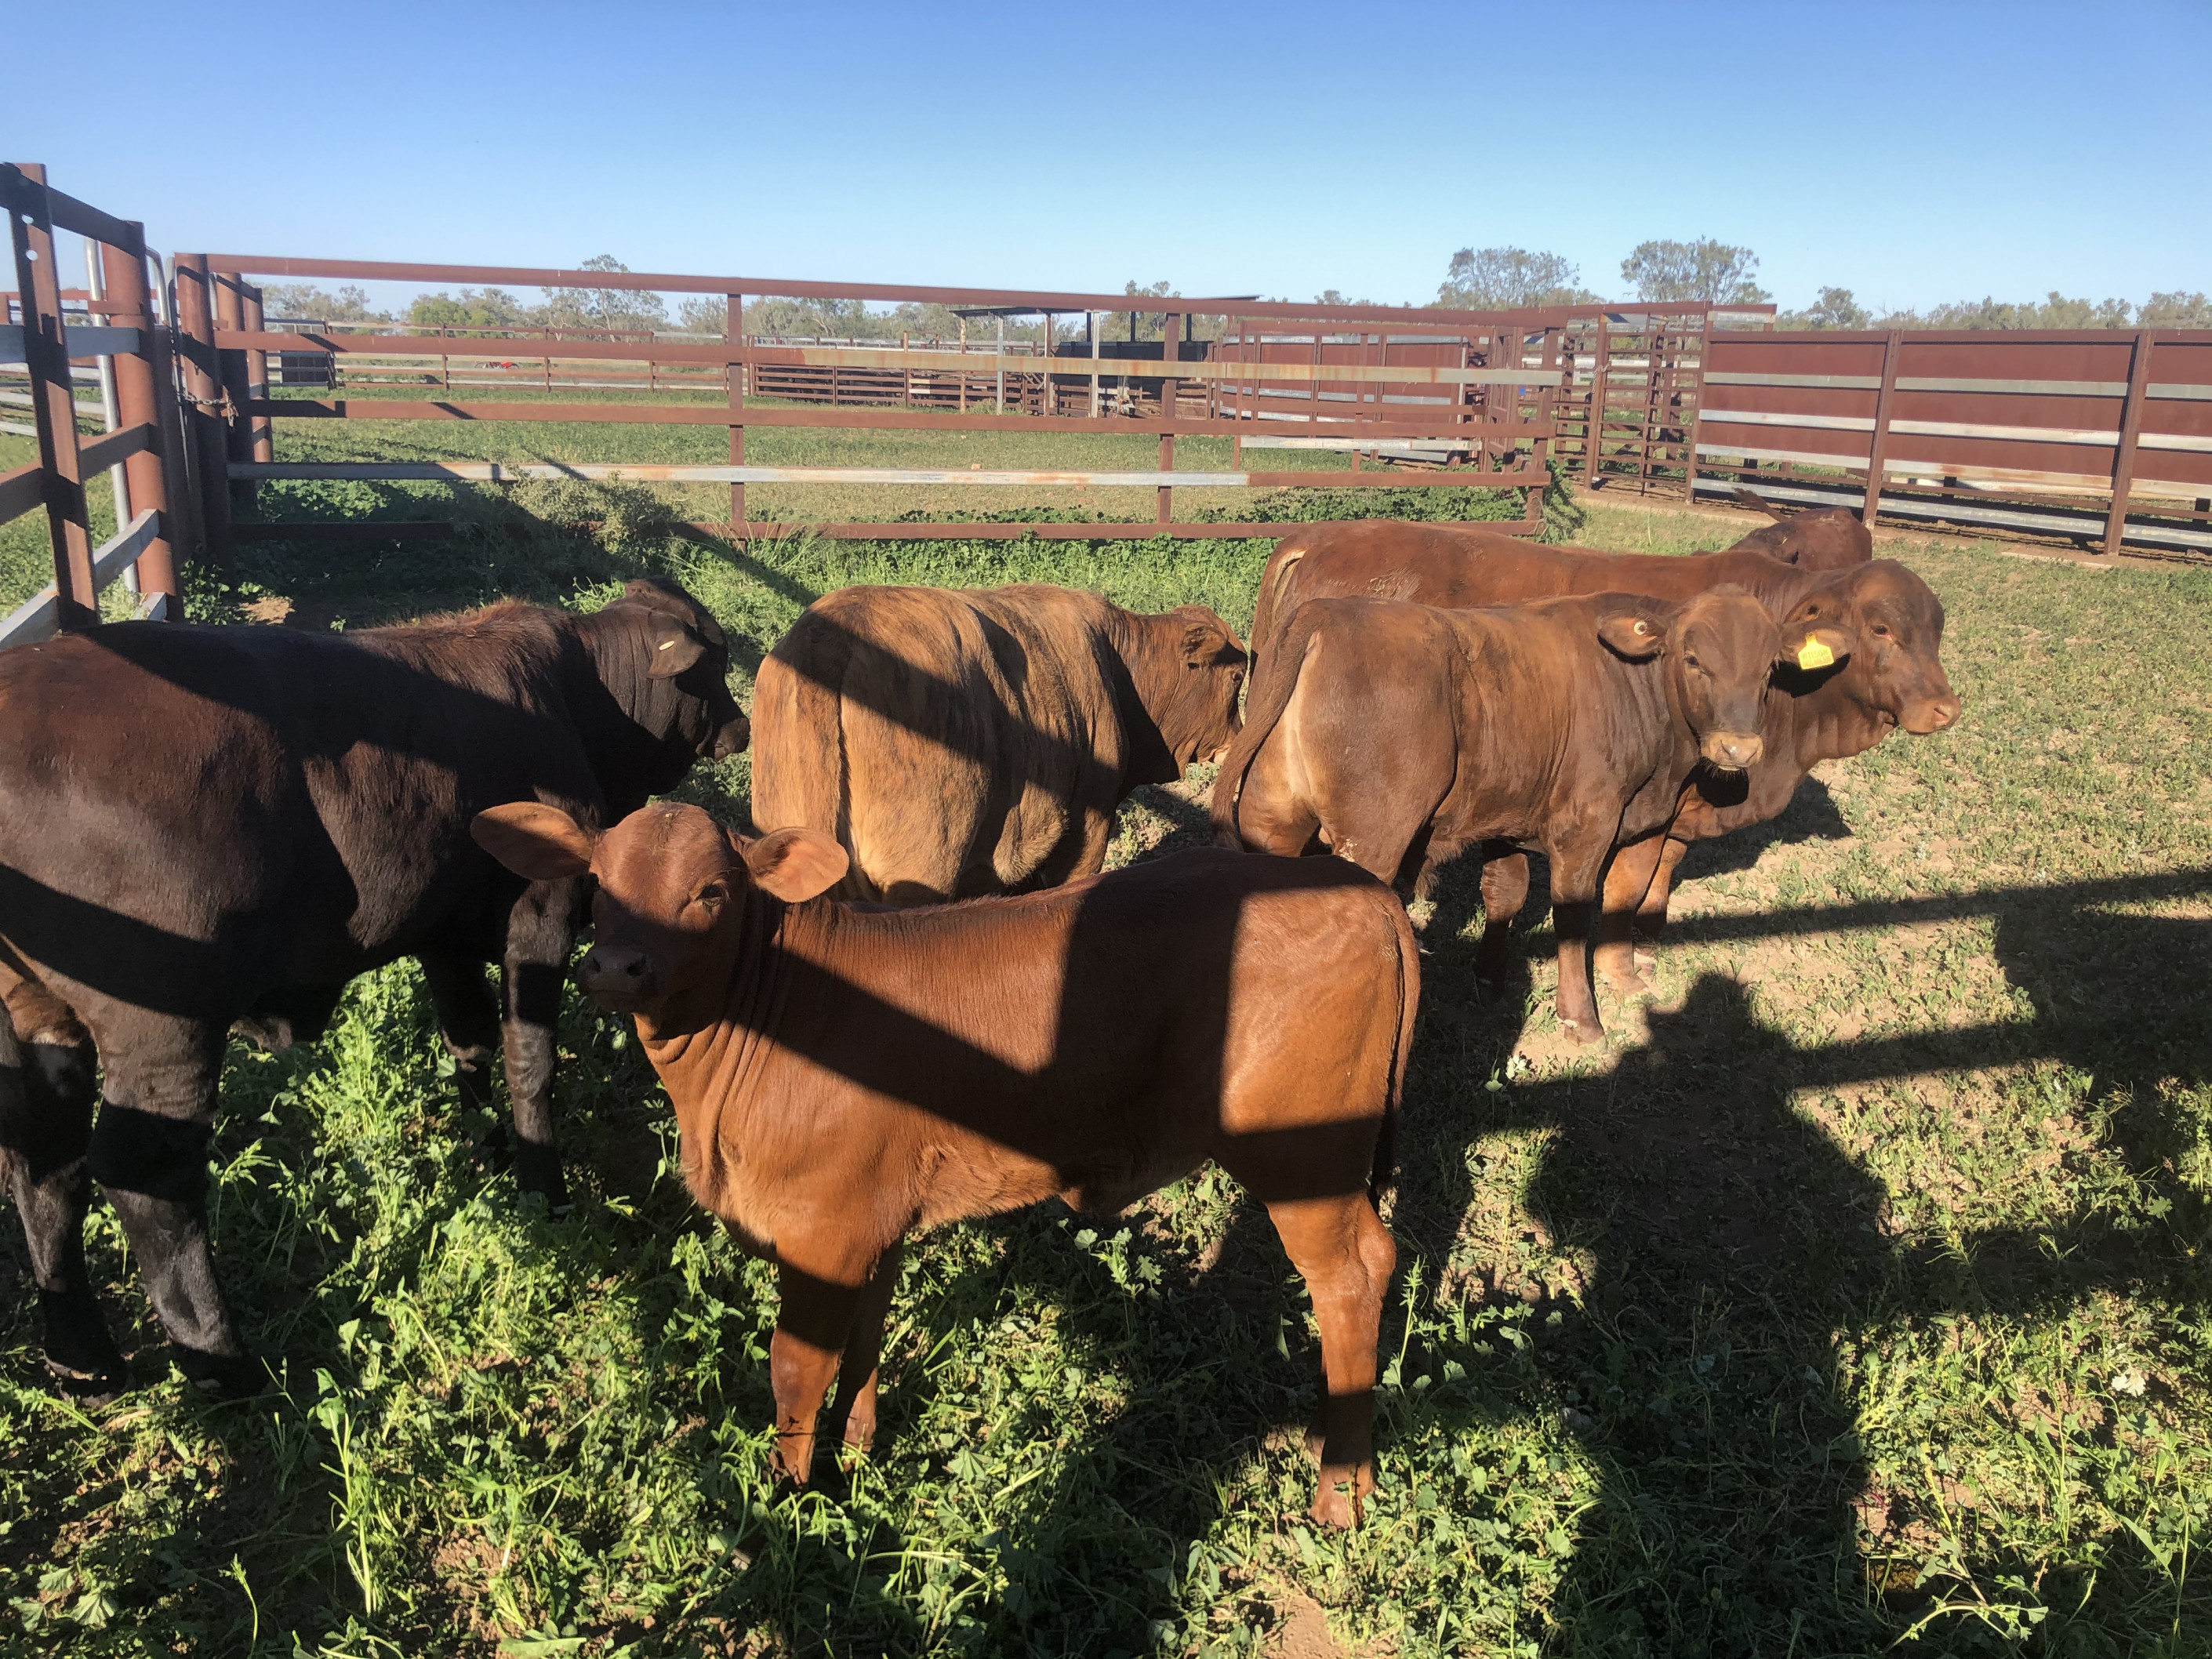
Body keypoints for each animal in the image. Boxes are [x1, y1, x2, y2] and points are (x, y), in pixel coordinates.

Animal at [0, 577, 749, 1399]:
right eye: (714, 661)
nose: (742, 724)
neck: (575, 695)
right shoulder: (541, 920)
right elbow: (531, 1063)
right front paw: (543, 1188)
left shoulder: (444, 938)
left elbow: (469, 1042)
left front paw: (489, 1152)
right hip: (163, 1023)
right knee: (144, 1175)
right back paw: (223, 1362)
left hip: (41, 1015)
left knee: (45, 1168)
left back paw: (82, 1356)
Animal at [470, 800, 1418, 1528]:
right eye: (600, 883)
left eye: (711, 891)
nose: (614, 967)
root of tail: (1364, 890)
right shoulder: (870, 1218)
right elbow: (864, 1335)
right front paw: (856, 1446)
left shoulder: (821, 1227)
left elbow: (795, 1364)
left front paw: (783, 1502)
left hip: (1302, 1151)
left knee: (1350, 1276)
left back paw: (1338, 1491)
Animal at [1211, 588, 1826, 1043]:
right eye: (1694, 659)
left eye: (1769, 670)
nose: (1737, 749)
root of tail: (1328, 610)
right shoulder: (1589, 827)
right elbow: (1578, 912)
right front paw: (1582, 1016)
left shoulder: (1513, 821)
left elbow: (1512, 896)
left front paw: (1505, 979)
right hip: (1372, 841)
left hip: (1274, 821)